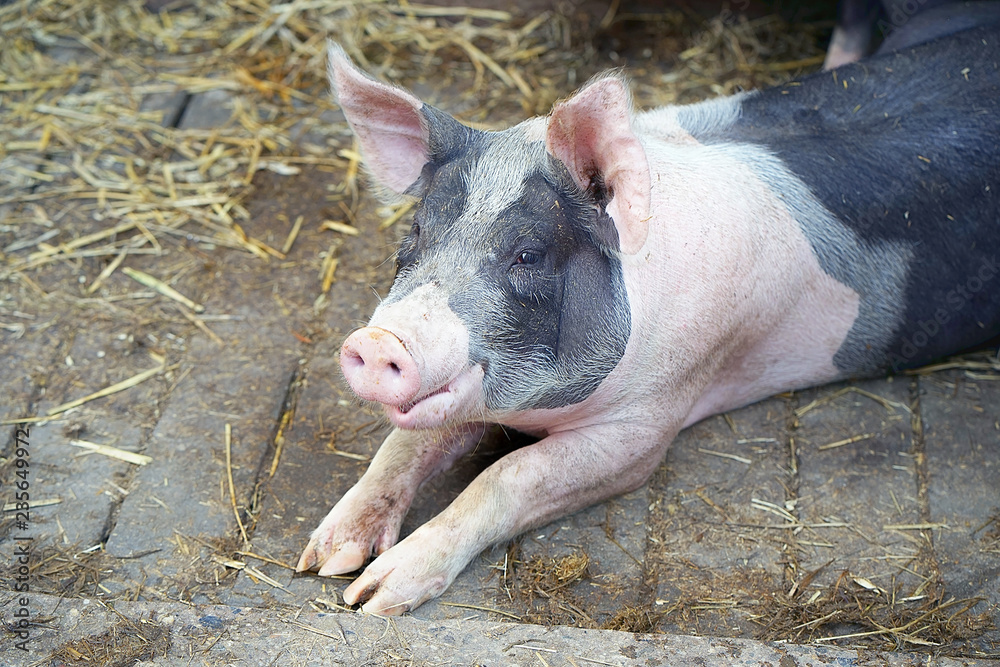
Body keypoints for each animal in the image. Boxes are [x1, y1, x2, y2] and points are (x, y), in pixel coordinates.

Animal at [295, 11, 1000, 615]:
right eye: (416, 232)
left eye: (527, 253)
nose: (378, 341)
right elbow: (406, 444)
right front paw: (326, 563)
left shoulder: (646, 427)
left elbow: (511, 475)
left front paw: (371, 597)